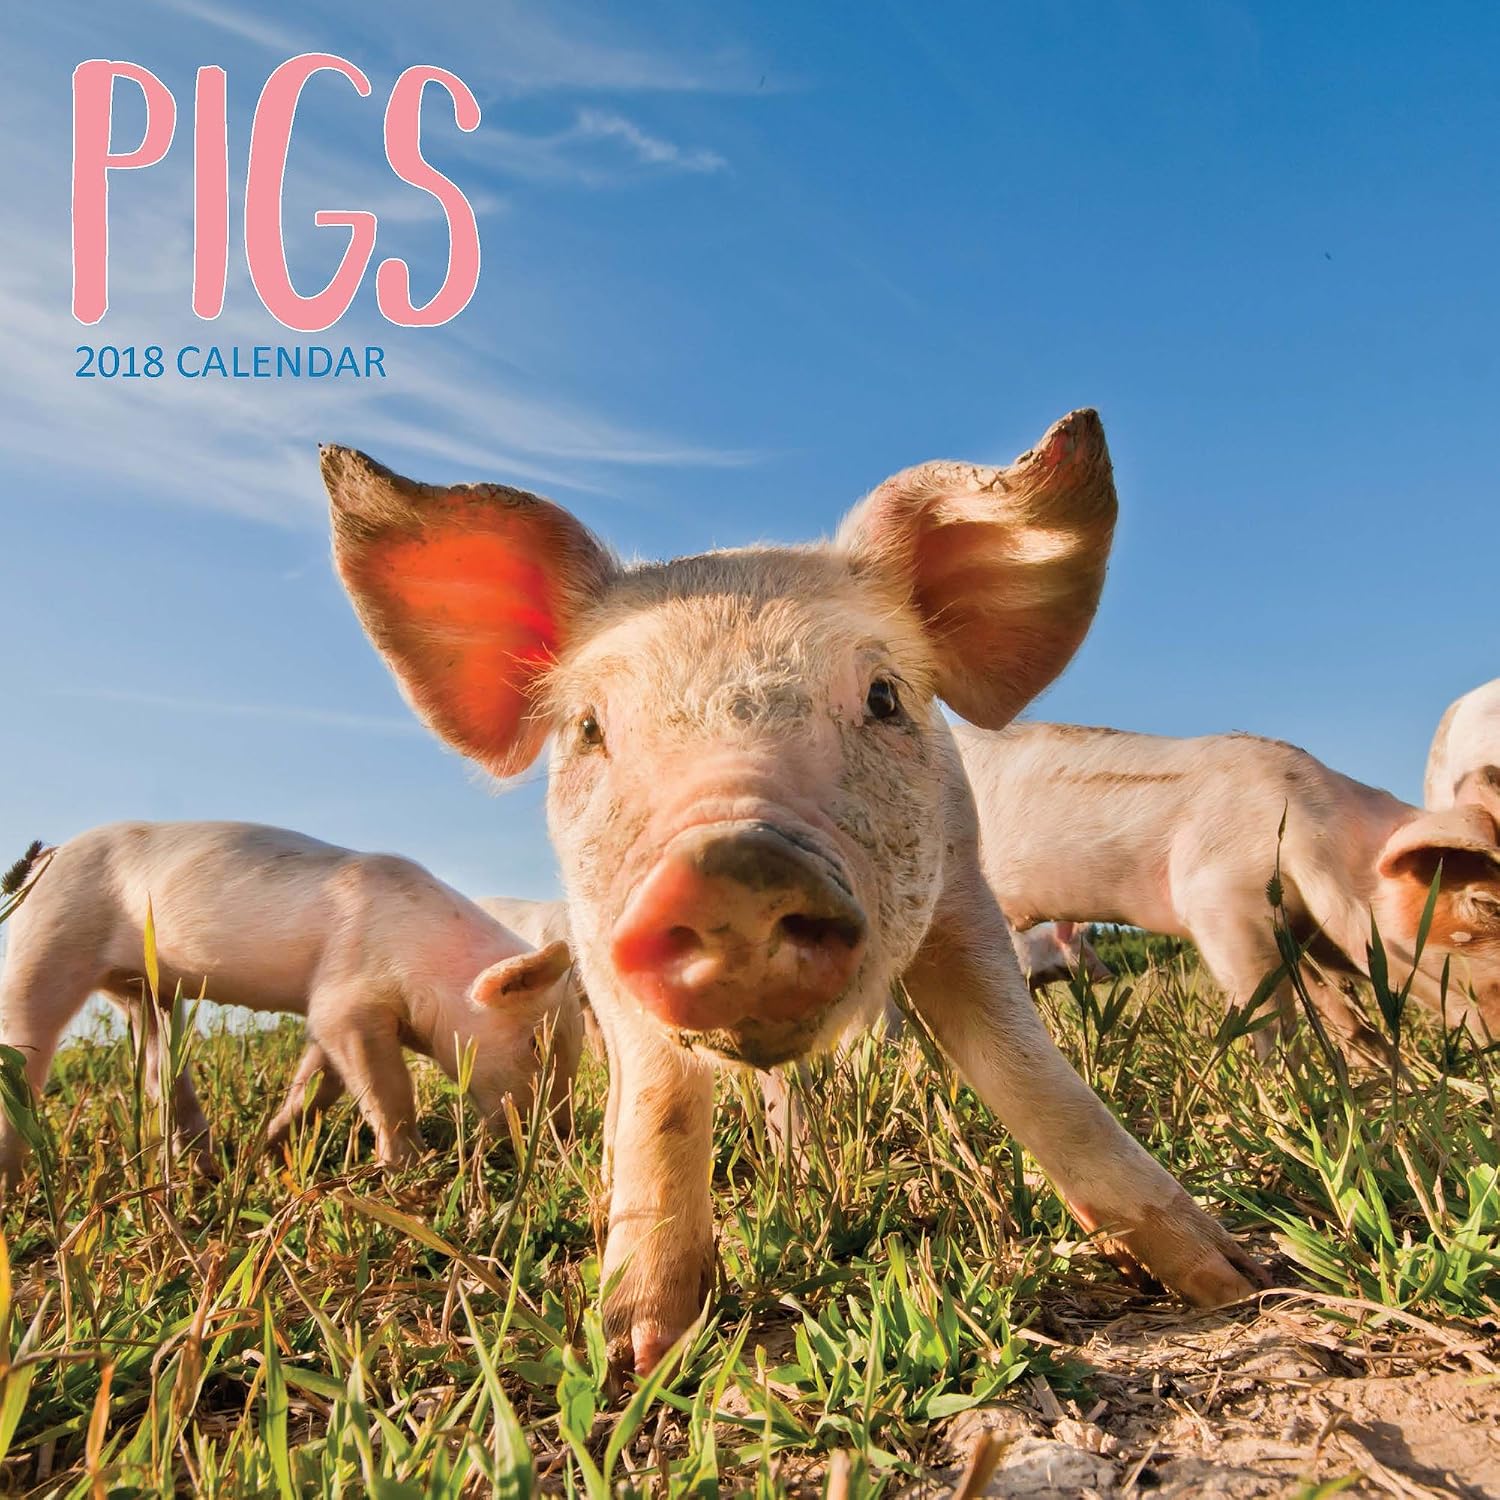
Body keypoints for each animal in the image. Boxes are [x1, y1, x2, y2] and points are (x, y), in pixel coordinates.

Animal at [0, 821, 577, 1185]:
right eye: (535, 1042)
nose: (564, 1138)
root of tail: (46, 857)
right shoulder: (347, 995)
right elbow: (387, 1088)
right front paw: (410, 1170)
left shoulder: (333, 1012)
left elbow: (320, 1082)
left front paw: (267, 1153)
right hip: (49, 934)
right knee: (27, 1036)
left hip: (147, 991)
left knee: (161, 1063)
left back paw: (207, 1168)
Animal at [322, 407, 1267, 1375]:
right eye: (588, 727)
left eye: (884, 696)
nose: (730, 866)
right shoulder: (598, 938)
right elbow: (661, 1099)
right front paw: (637, 1351)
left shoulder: (962, 889)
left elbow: (1027, 1068)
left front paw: (1231, 1282)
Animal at [957, 723, 1500, 1054]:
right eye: (1485, 904)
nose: (1109, 973)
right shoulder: (1217, 903)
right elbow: (1269, 1015)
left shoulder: (1294, 931)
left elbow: (1343, 1015)